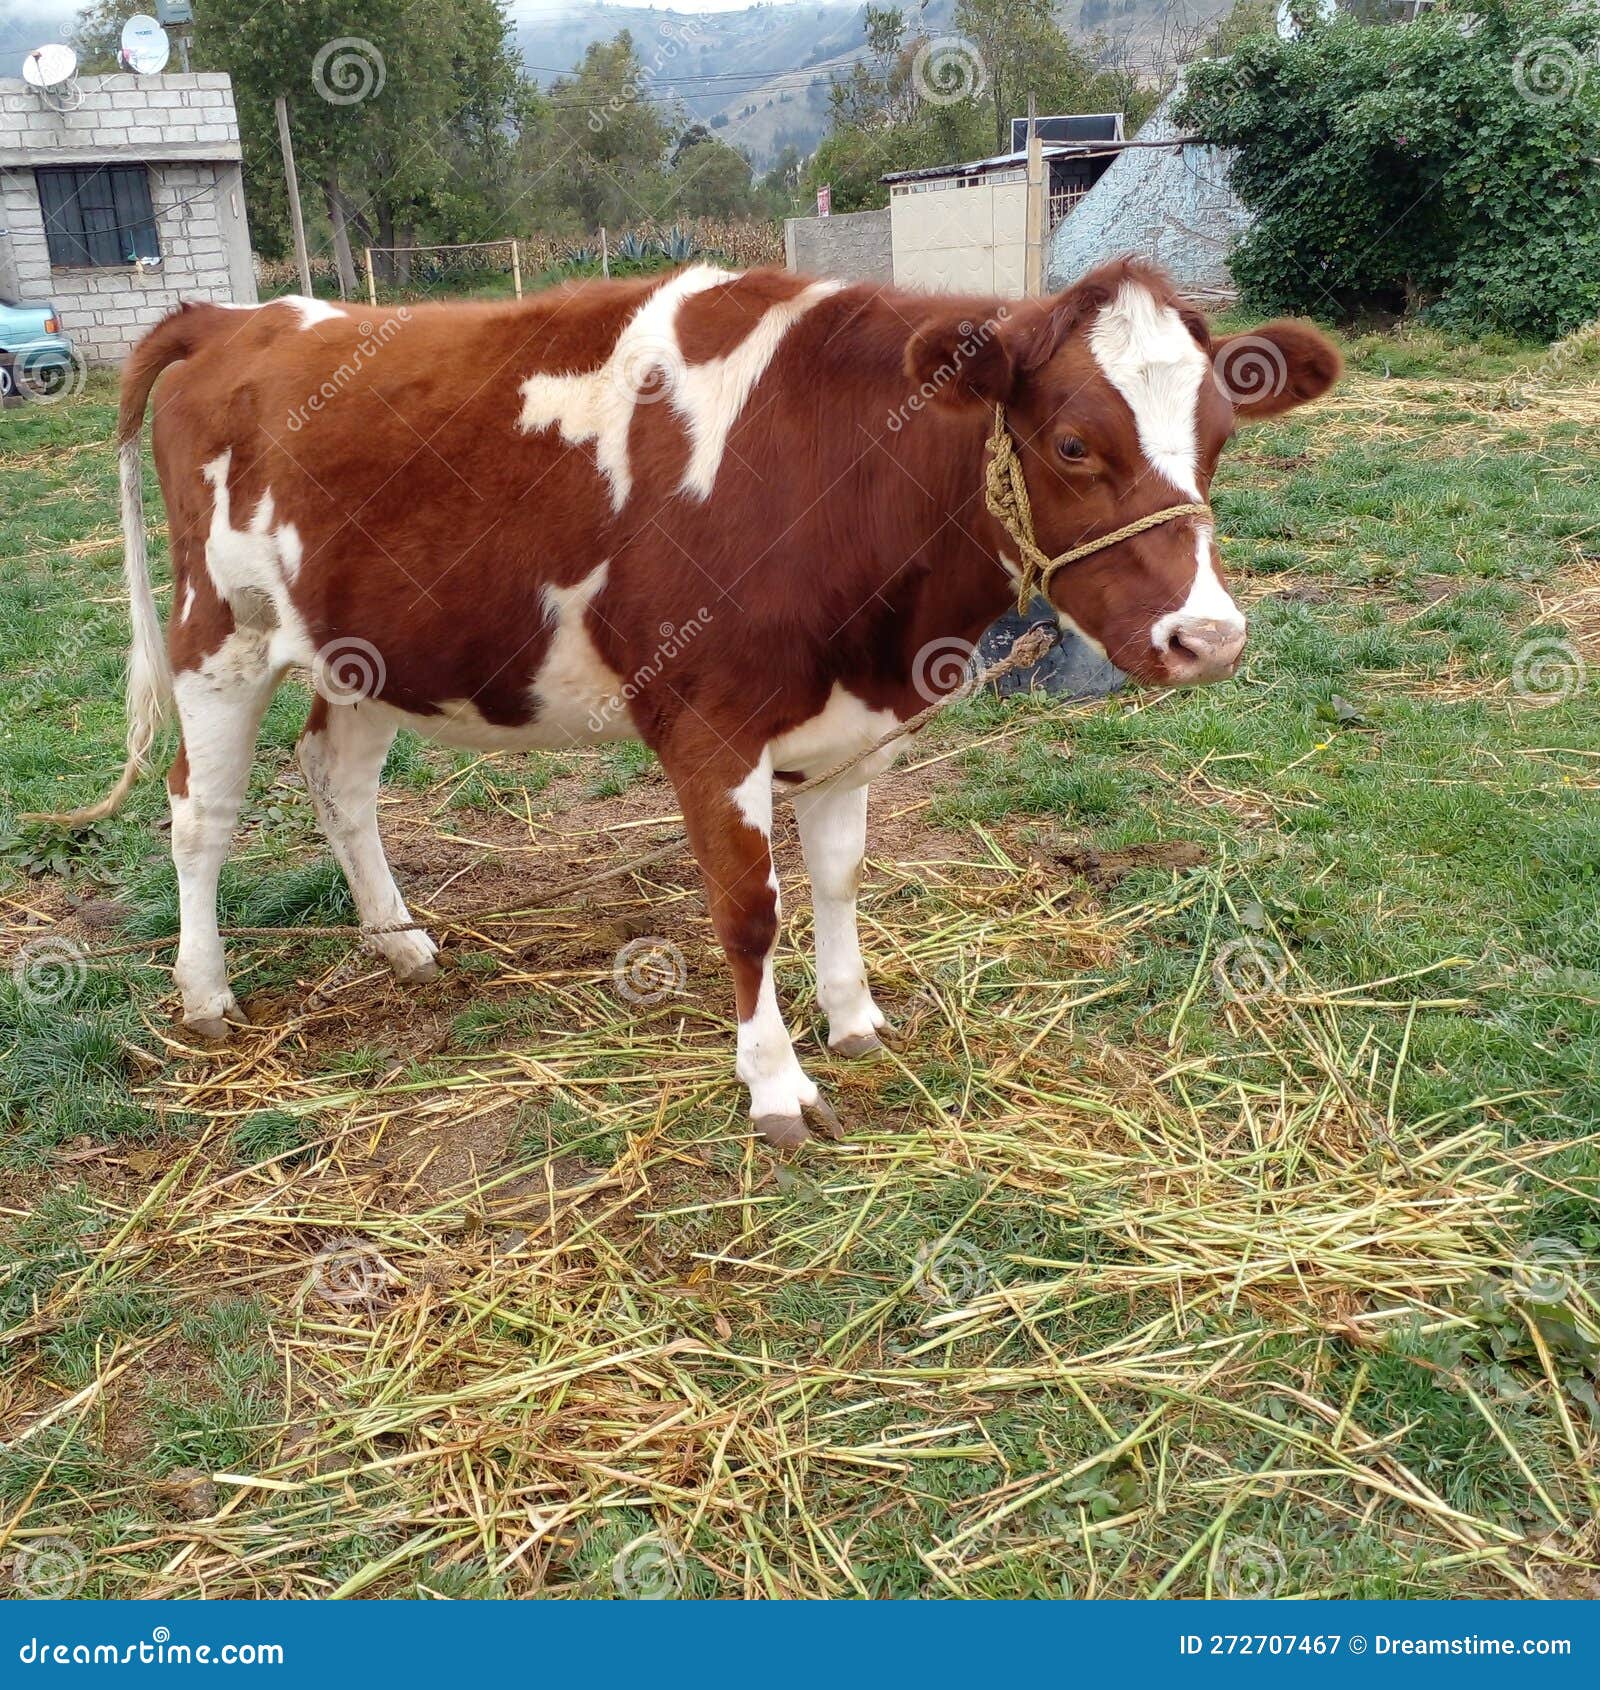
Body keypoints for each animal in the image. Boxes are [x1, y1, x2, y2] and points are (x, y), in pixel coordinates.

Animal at [40, 259, 1339, 1146]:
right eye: (1071, 443)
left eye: (1220, 435)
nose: (1208, 638)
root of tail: (240, 315)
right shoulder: (709, 723)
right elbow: (748, 910)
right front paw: (776, 1084)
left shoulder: (851, 727)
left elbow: (838, 880)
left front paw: (854, 1020)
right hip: (221, 630)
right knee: (198, 814)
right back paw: (206, 993)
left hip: (363, 641)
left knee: (337, 779)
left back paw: (399, 942)